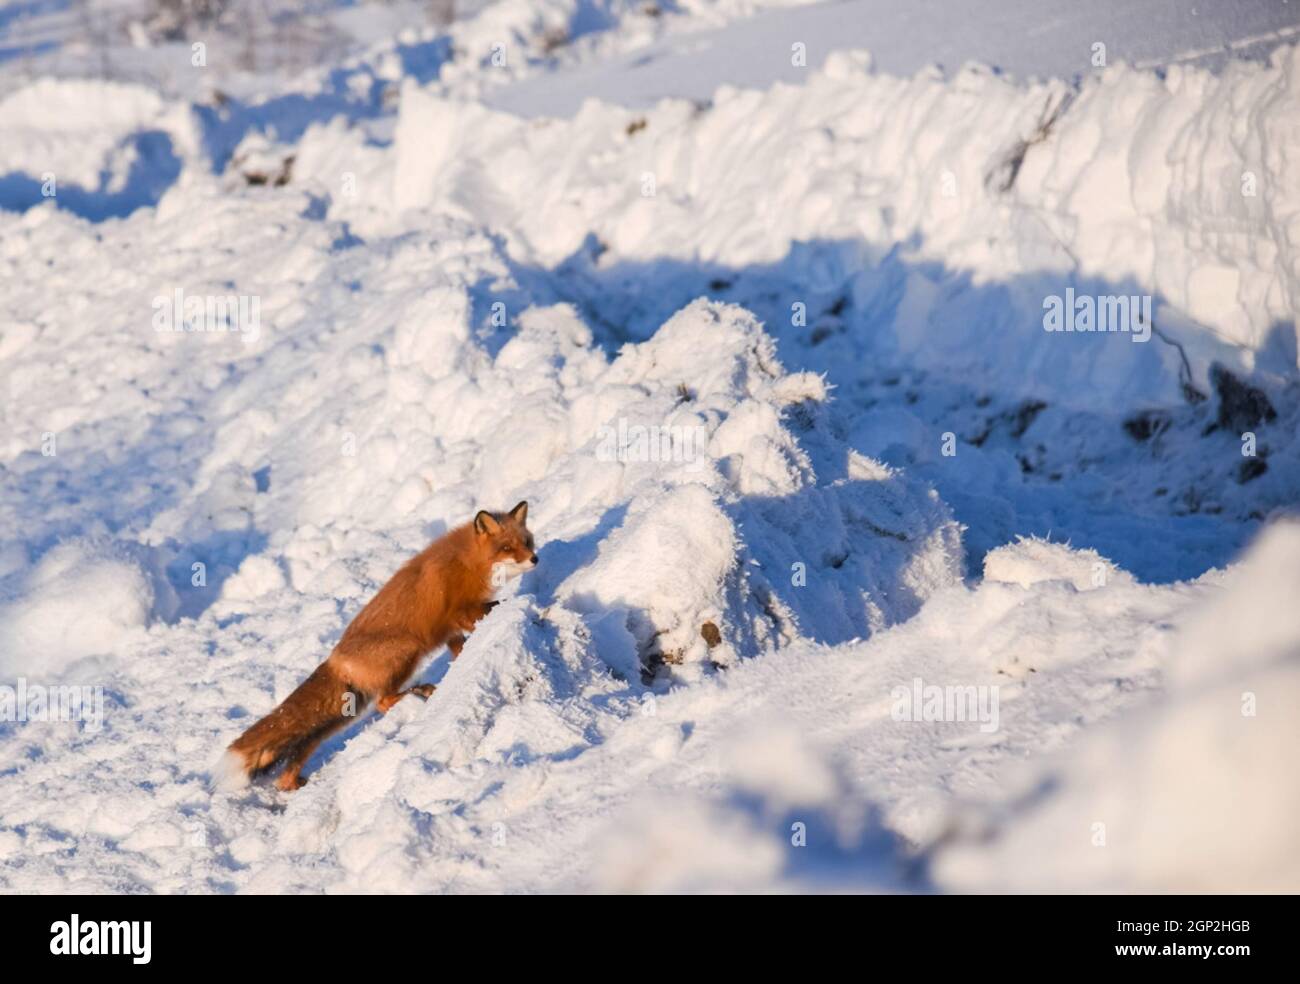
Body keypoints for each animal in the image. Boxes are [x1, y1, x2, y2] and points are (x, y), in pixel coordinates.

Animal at [215, 501, 537, 792]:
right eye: (507, 547)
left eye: (526, 542)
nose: (535, 559)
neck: (467, 561)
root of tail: (334, 659)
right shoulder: (460, 611)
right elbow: (491, 608)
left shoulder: (450, 631)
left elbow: (460, 648)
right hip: (406, 653)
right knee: (384, 702)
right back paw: (420, 692)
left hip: (347, 712)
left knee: (299, 753)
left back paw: (291, 784)